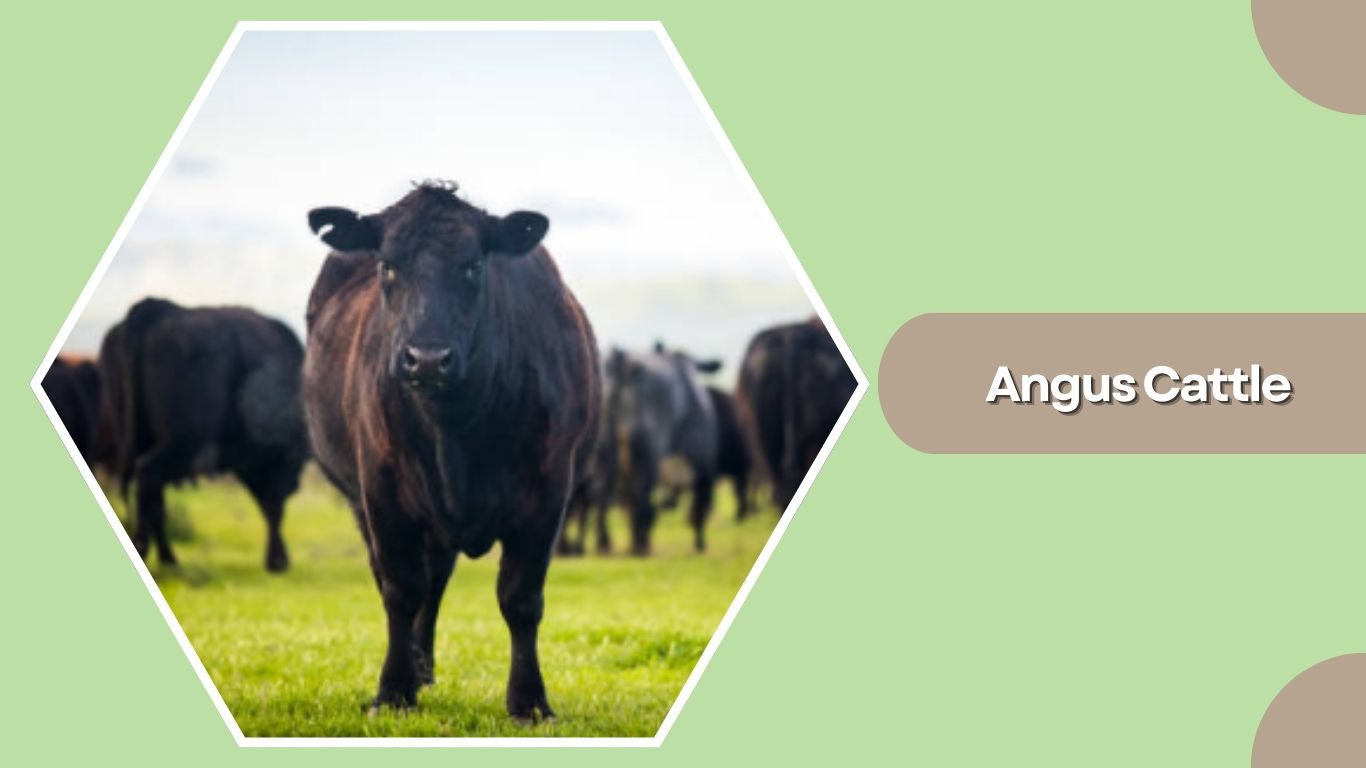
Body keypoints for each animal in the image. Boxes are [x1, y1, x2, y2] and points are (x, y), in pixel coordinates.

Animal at [100, 299, 308, 572]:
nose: (297, 484)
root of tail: (158, 309)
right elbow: (273, 506)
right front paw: (277, 560)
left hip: (139, 438)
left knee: (153, 494)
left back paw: (167, 557)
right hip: (181, 443)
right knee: (148, 478)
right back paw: (151, 552)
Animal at [302, 181, 598, 721]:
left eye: (473, 265)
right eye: (387, 265)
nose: (427, 359)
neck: (455, 433)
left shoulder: (549, 489)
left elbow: (521, 598)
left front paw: (529, 701)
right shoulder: (380, 488)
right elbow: (401, 589)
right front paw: (393, 691)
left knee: (437, 578)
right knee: (406, 580)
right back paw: (415, 669)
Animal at [605, 345, 721, 555]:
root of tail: (626, 365)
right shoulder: (704, 464)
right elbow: (699, 508)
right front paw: (699, 544)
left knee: (612, 499)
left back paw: (614, 543)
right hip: (647, 458)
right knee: (641, 499)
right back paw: (640, 546)